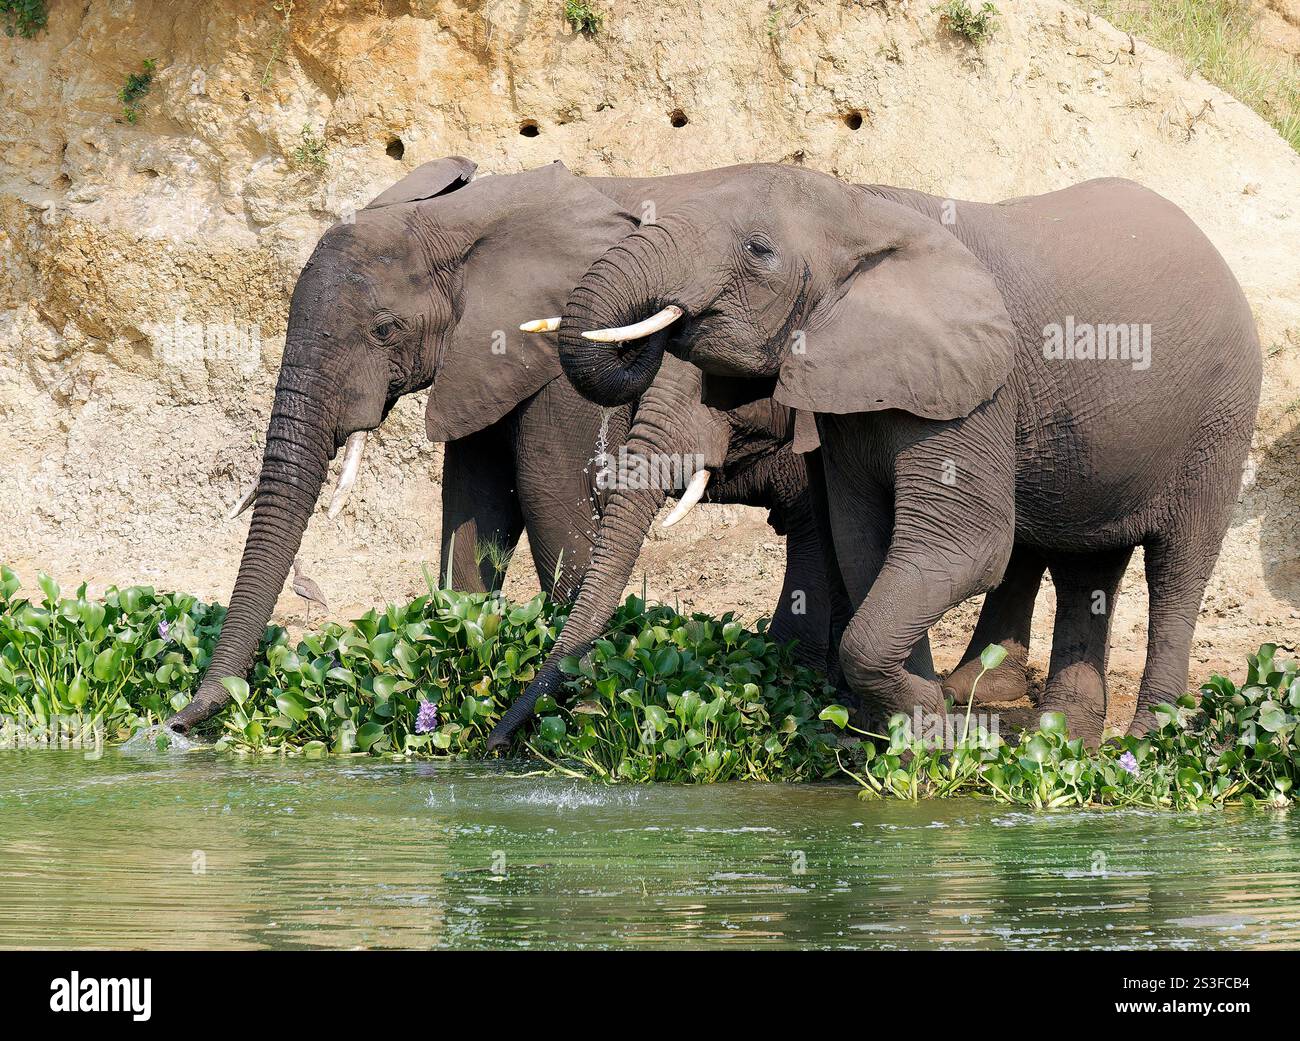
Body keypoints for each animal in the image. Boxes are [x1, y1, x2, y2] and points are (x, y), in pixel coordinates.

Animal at [166, 159, 836, 736]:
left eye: (384, 330)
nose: (175, 724)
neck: (461, 223)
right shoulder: (479, 361)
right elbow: (474, 506)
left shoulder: (559, 370)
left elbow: (551, 501)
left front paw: (572, 710)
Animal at [549, 164, 1262, 746]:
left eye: (758, 251)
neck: (862, 205)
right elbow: (866, 542)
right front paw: (913, 732)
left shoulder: (974, 388)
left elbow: (962, 545)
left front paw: (934, 735)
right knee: (1088, 566)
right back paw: (1061, 737)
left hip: (1221, 420)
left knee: (1178, 569)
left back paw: (1146, 744)